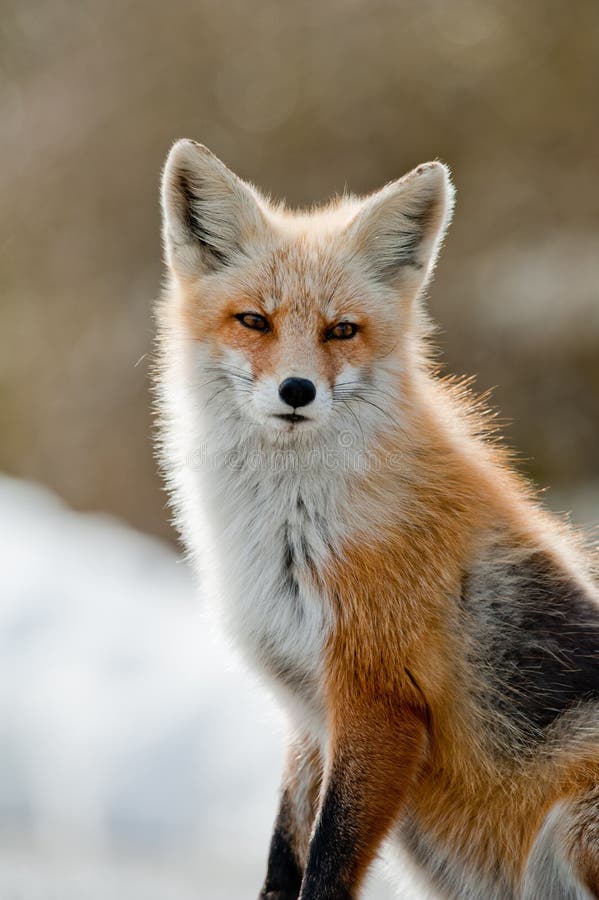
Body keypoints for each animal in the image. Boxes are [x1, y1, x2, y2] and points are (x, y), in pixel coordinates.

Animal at [155, 139, 599, 899]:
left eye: (341, 331)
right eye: (254, 321)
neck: (291, 524)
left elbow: (328, 861)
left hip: (571, 821)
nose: (297, 390)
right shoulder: (309, 709)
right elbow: (285, 854)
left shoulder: (380, 698)